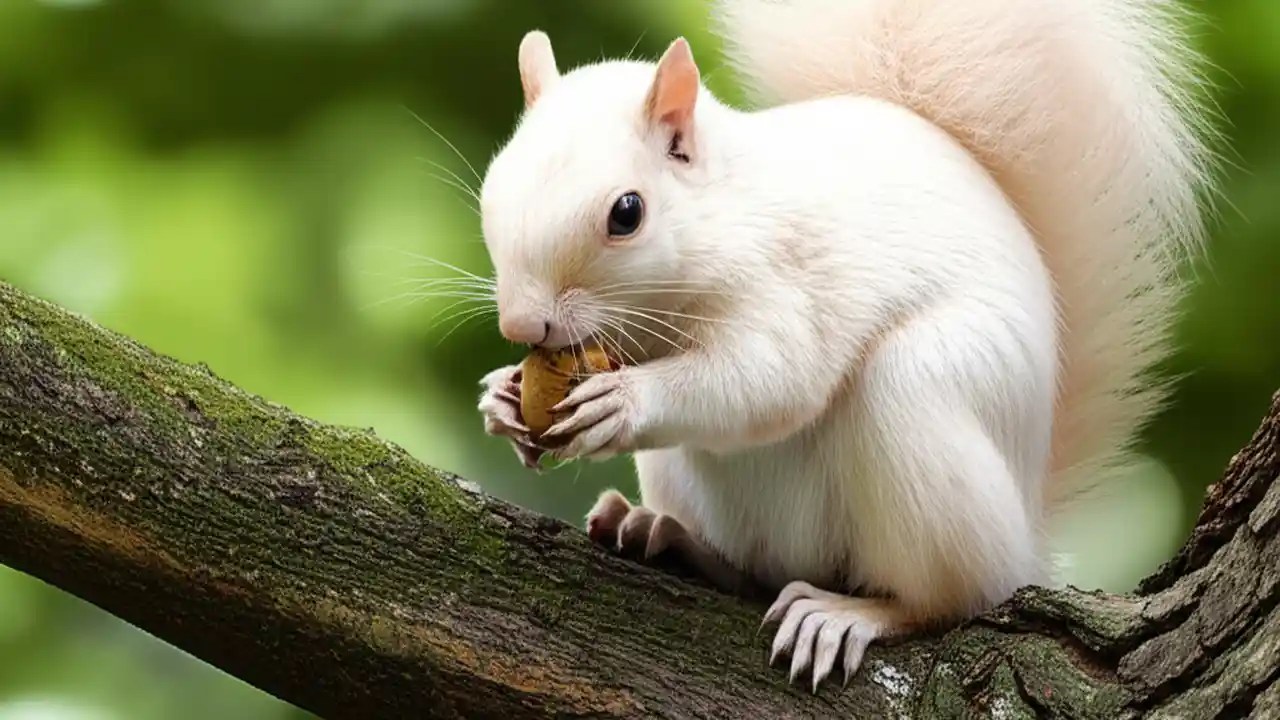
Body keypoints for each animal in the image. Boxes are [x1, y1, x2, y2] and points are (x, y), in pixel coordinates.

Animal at [475, 0, 1216, 690]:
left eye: (627, 213)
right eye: (493, 186)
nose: (524, 326)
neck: (720, 213)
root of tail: (1029, 525)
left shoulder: (786, 284)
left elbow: (769, 380)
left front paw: (625, 401)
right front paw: (503, 397)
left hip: (919, 402)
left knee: (952, 596)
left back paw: (847, 613)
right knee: (753, 571)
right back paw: (664, 533)